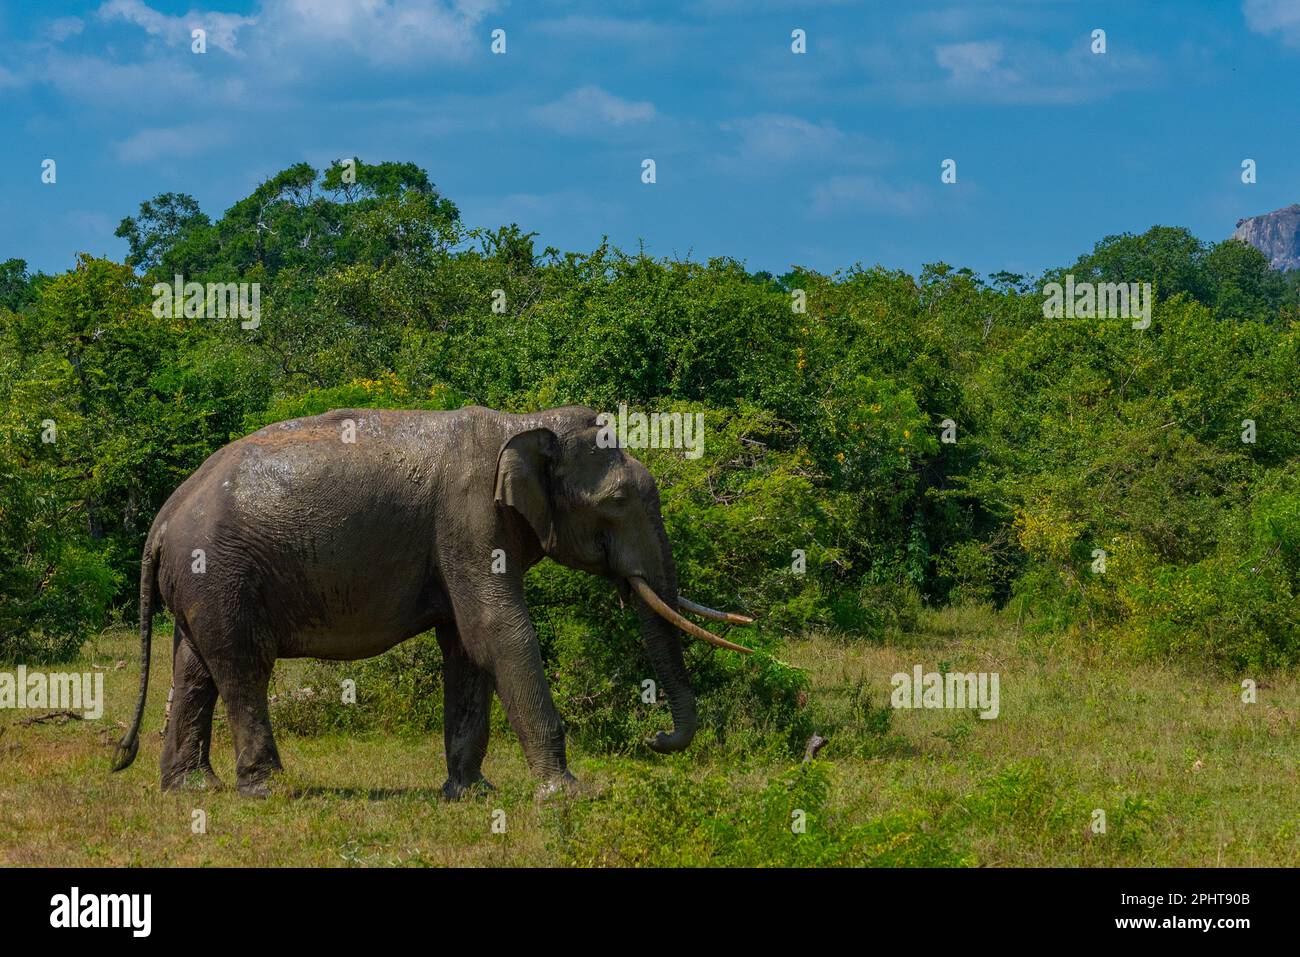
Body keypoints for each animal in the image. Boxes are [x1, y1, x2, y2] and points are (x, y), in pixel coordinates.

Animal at [110, 404, 755, 798]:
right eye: (618, 499)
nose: (655, 740)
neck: (524, 421)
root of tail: (161, 521)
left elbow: (466, 648)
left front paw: (470, 795)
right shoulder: (468, 519)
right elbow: (498, 632)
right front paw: (563, 794)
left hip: (202, 581)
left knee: (195, 667)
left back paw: (192, 789)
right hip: (222, 572)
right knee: (244, 666)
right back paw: (269, 789)